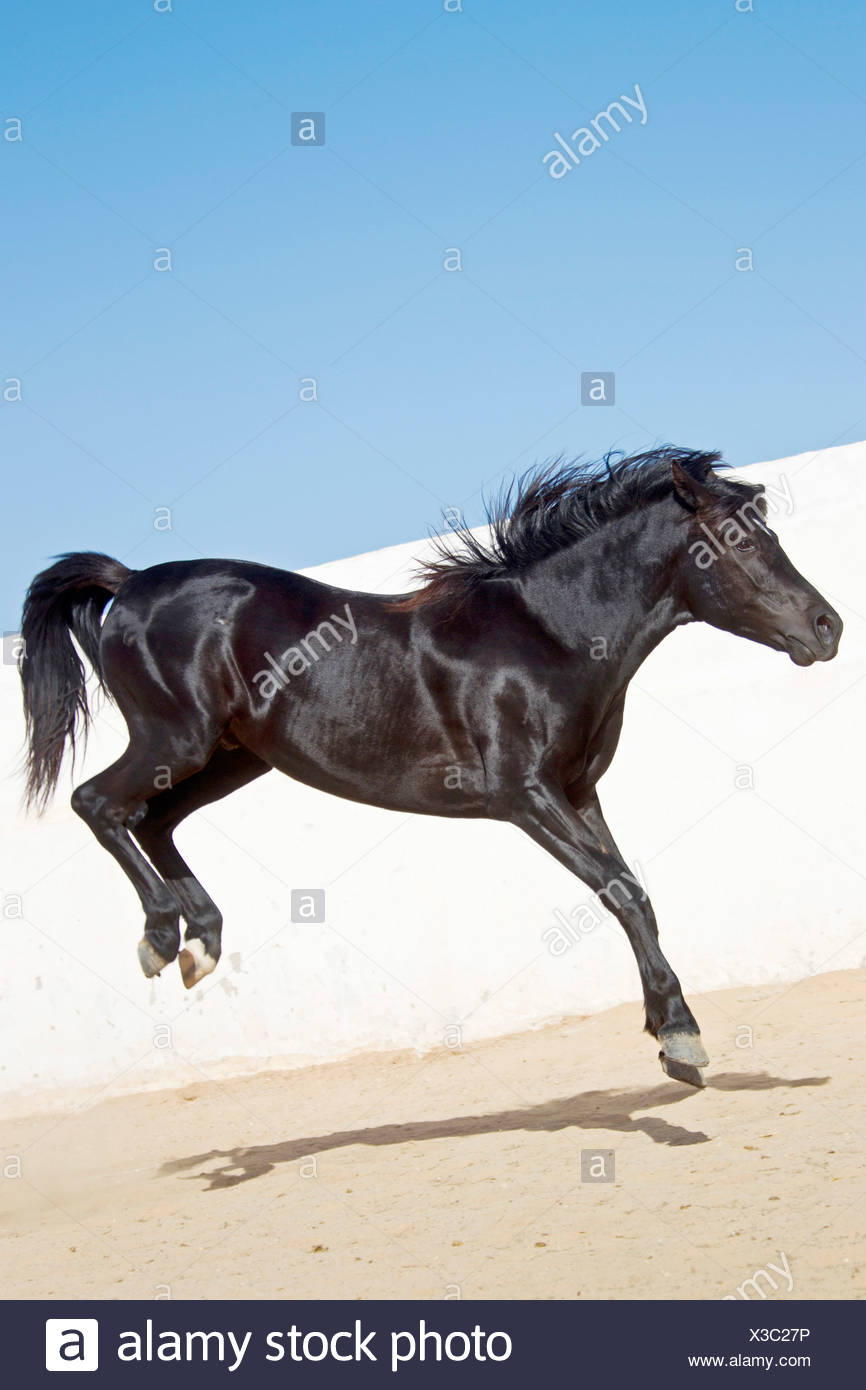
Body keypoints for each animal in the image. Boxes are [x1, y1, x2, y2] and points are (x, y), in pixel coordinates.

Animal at [19, 447, 842, 1086]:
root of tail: (128, 582)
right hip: (177, 739)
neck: (548, 634)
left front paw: (670, 1032)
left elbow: (635, 891)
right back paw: (163, 940)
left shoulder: (580, 791)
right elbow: (623, 894)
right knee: (98, 802)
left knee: (155, 819)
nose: (827, 627)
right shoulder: (526, 795)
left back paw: (201, 944)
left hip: (229, 757)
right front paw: (681, 1039)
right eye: (738, 542)